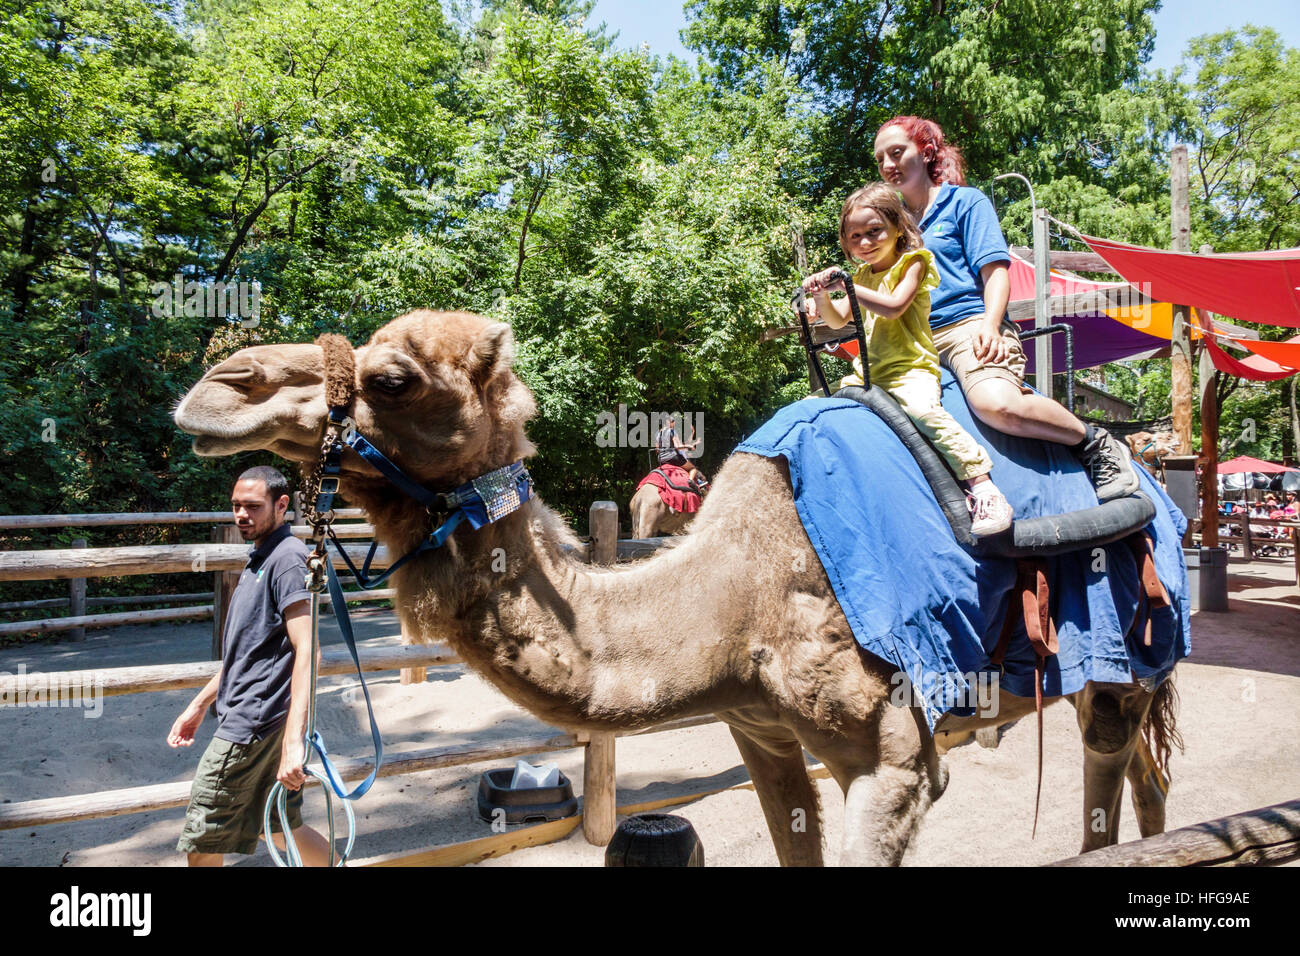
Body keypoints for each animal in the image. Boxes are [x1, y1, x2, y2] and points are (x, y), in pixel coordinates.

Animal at [174, 309, 1180, 866]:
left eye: (393, 377)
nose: (219, 383)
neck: (730, 602)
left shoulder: (893, 757)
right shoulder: (759, 729)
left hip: (1126, 643)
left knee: (1108, 766)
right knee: (1143, 779)